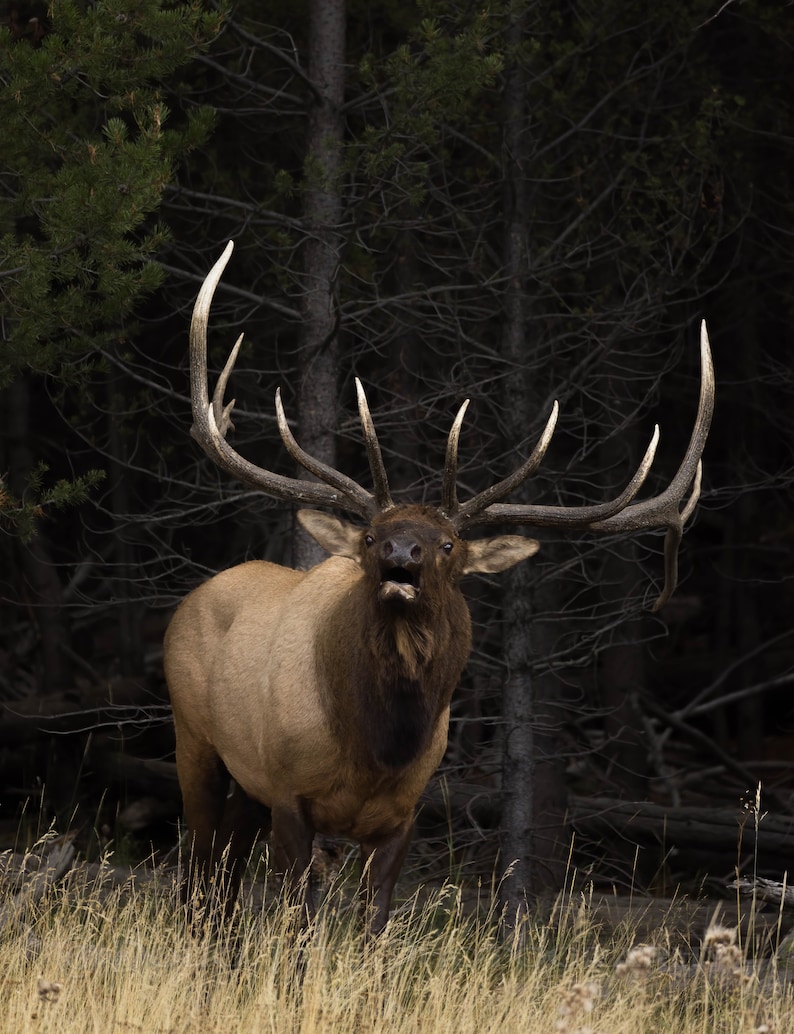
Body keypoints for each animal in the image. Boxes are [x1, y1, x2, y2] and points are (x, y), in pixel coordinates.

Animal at [164, 240, 714, 937]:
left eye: (449, 544)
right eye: (372, 535)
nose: (402, 552)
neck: (377, 747)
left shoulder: (403, 814)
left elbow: (373, 924)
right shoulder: (289, 792)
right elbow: (298, 924)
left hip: (245, 784)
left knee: (223, 880)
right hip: (195, 738)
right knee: (198, 872)